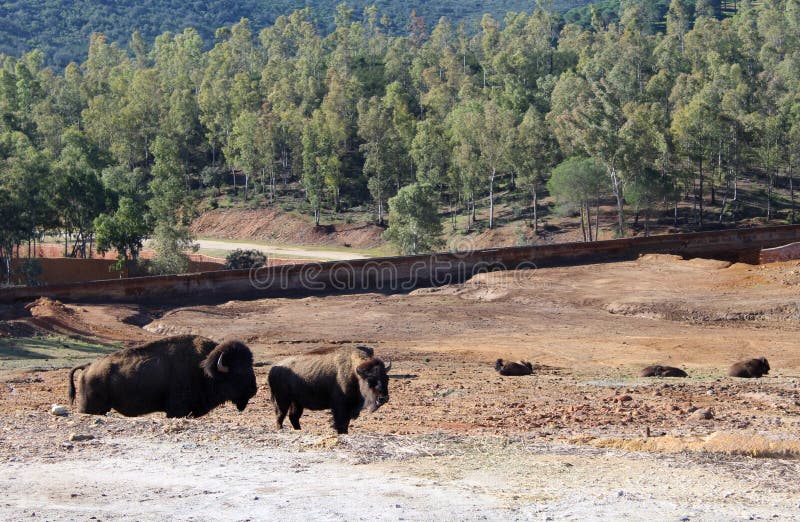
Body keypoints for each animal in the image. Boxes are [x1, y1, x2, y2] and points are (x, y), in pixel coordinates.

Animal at [69, 335, 257, 418]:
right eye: (238, 371)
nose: (253, 390)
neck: (204, 367)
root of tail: (87, 367)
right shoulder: (176, 411)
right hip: (89, 408)